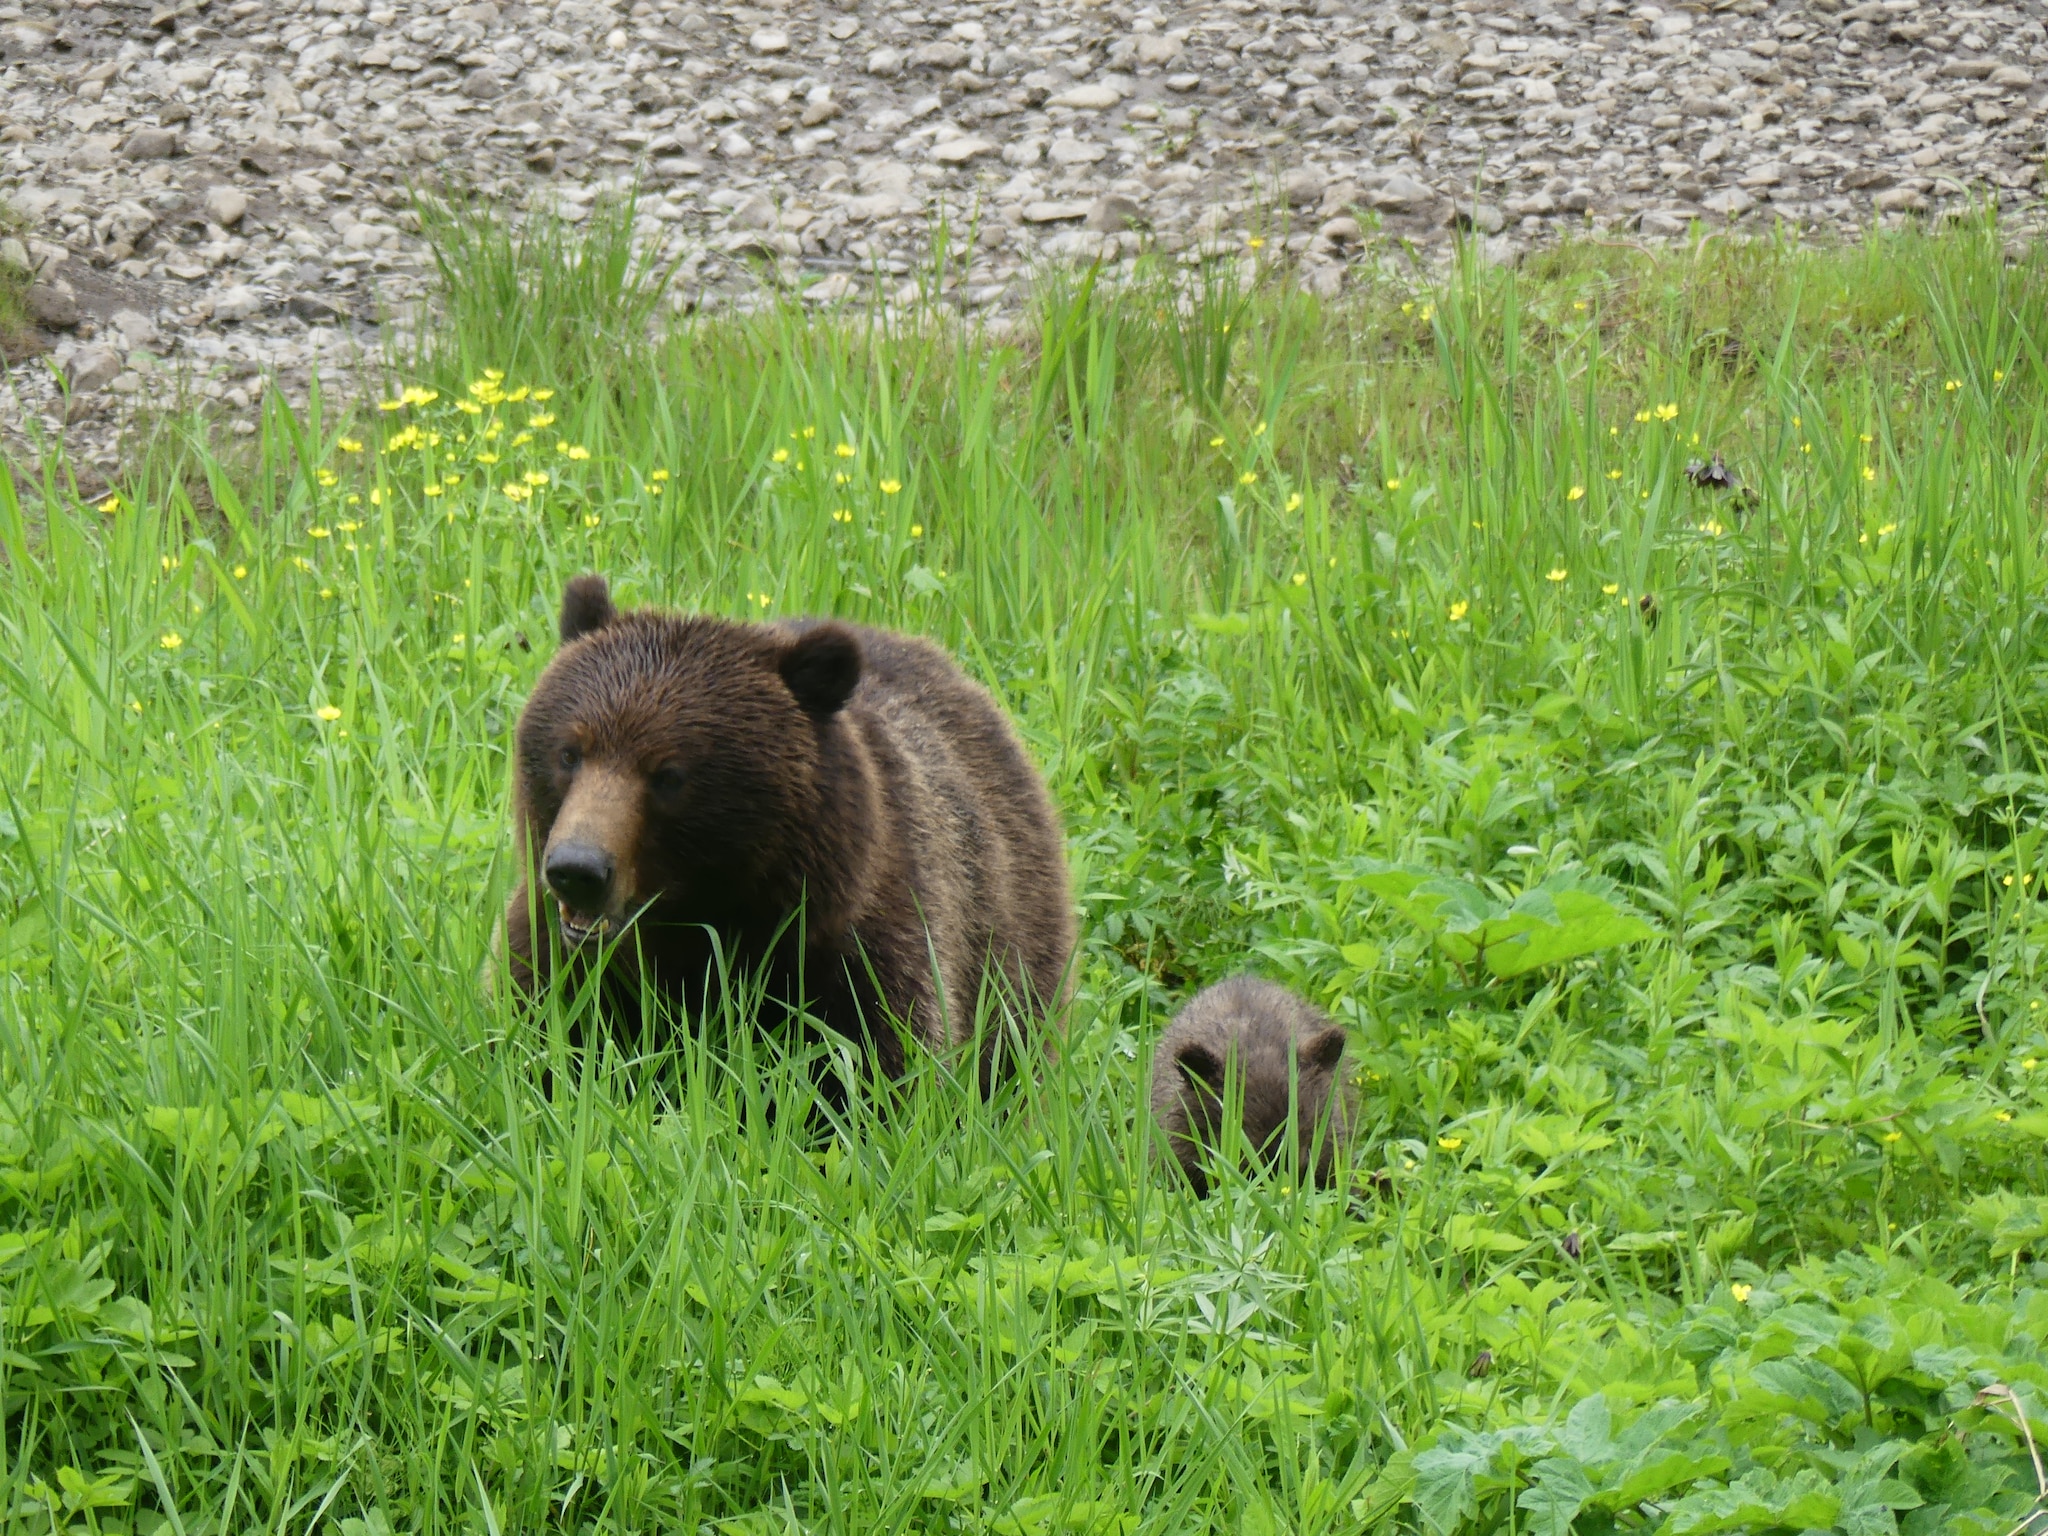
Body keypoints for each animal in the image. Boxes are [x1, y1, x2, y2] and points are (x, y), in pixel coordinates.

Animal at [499, 574, 1076, 1090]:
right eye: (570, 752)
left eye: (669, 775)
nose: (577, 870)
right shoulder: (558, 961)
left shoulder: (858, 958)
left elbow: (872, 1072)